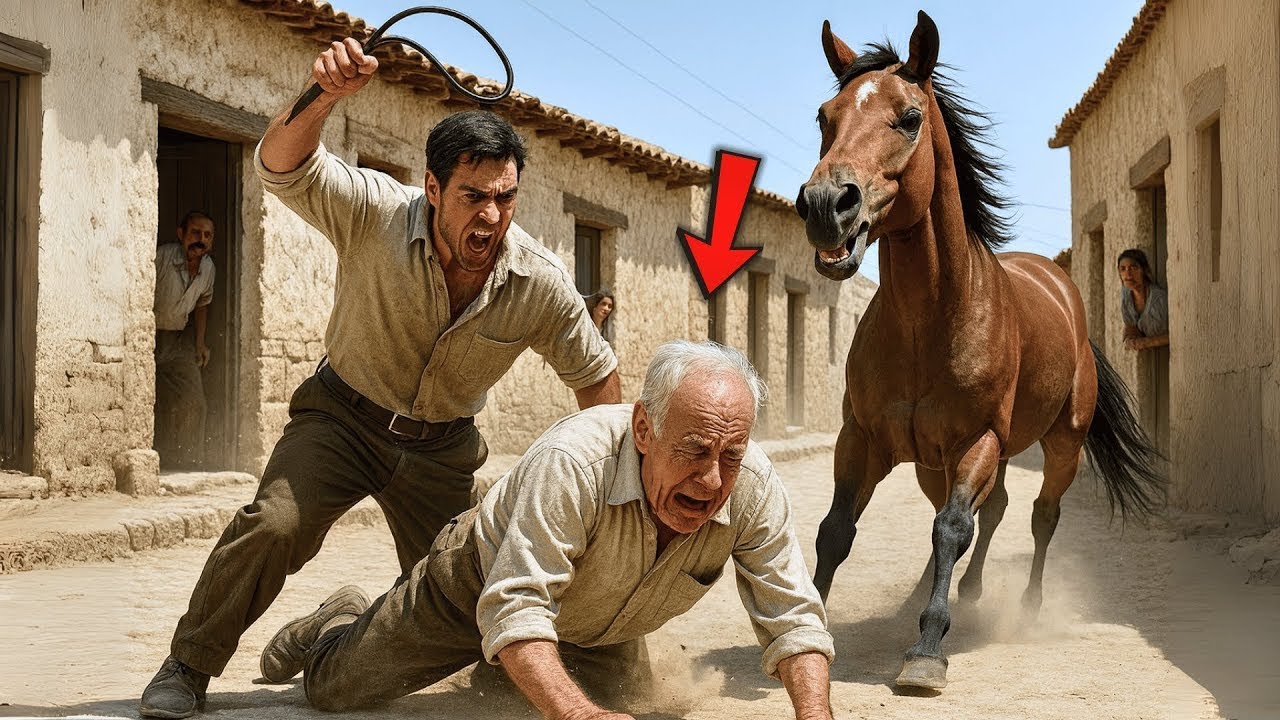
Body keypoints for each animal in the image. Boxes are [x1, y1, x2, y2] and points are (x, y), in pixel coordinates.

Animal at [794, 11, 1165, 690]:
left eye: (909, 116)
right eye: (824, 116)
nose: (827, 207)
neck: (929, 322)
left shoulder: (979, 440)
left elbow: (951, 528)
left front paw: (926, 652)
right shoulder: (862, 438)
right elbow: (837, 530)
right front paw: (812, 625)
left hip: (1060, 445)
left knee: (1035, 515)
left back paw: (1025, 606)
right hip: (932, 463)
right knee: (985, 513)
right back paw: (942, 594)